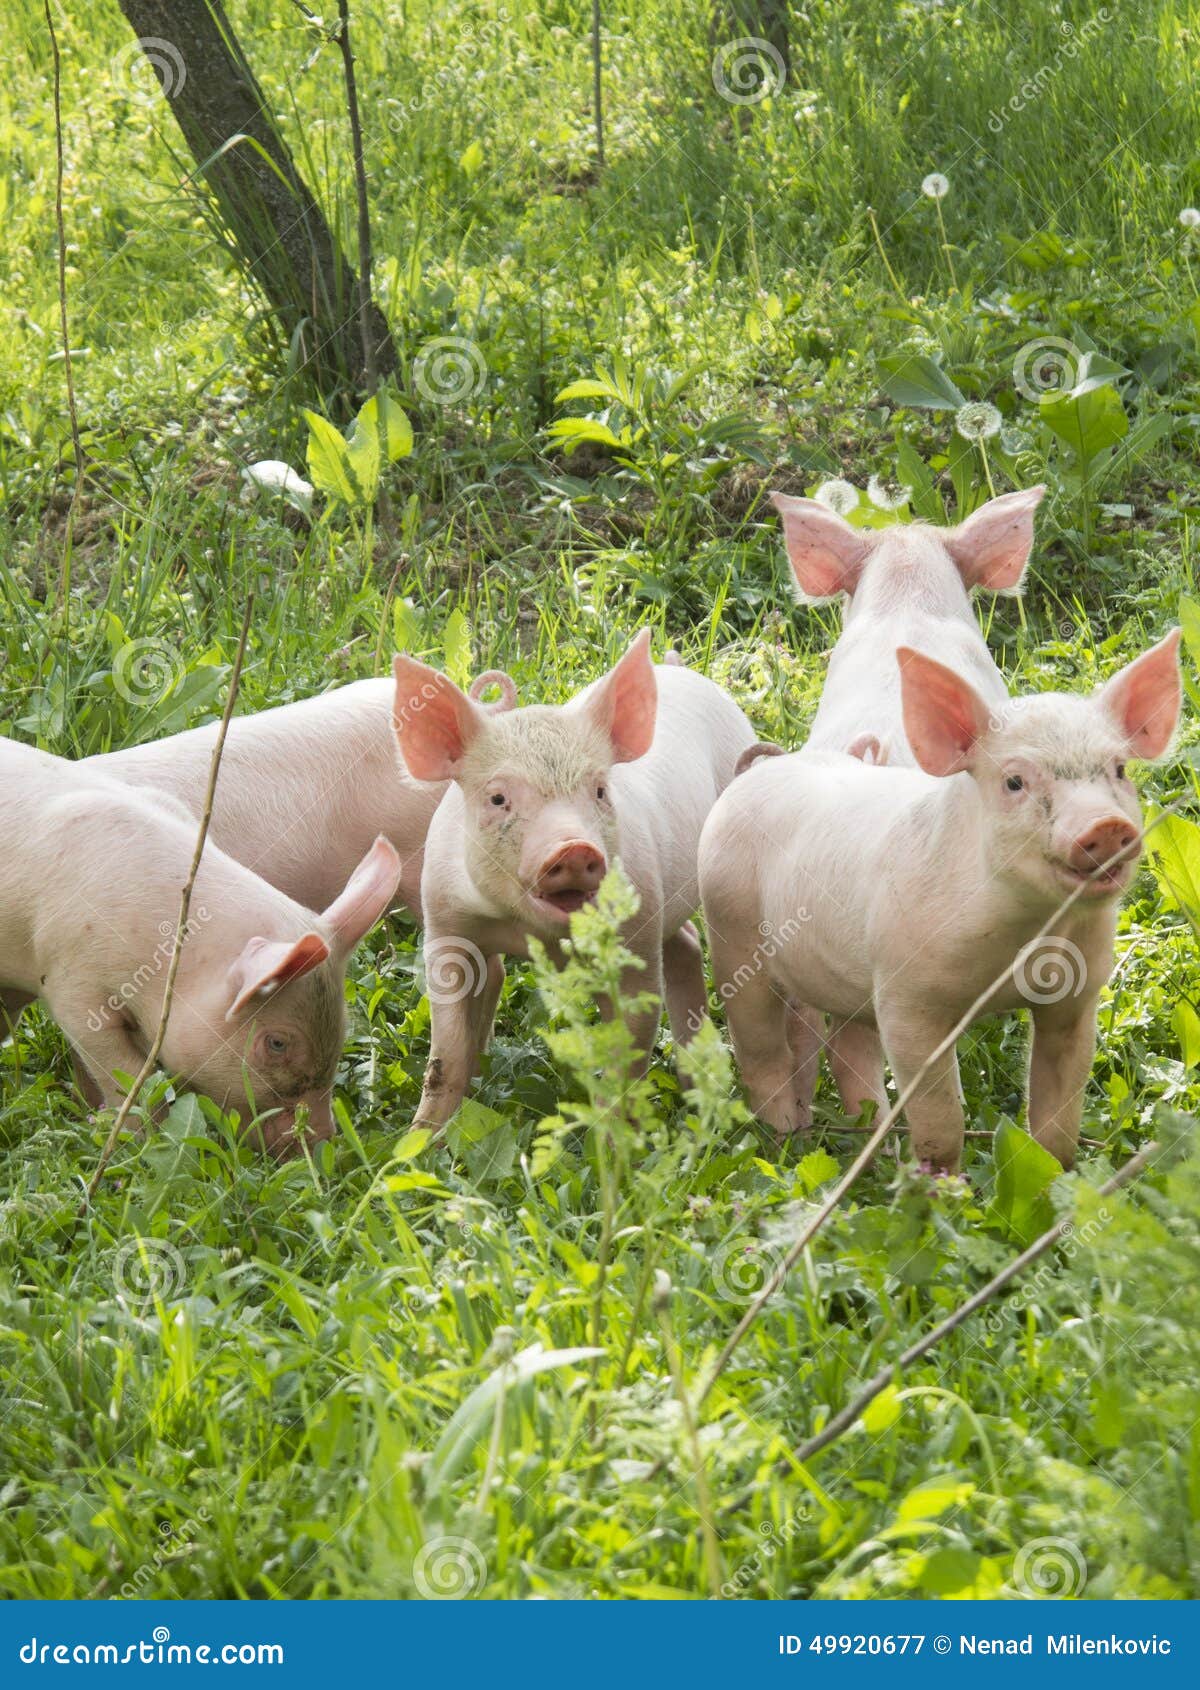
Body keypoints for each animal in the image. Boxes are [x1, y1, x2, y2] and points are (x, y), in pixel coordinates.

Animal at [0, 737, 400, 1154]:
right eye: (277, 1043)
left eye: (342, 1030)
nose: (322, 1142)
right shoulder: (72, 984)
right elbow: (123, 1072)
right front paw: (142, 1140)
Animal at [392, 631, 758, 1129]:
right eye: (498, 798)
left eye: (600, 791)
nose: (574, 848)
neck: (528, 930)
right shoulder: (446, 924)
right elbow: (445, 1058)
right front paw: (420, 1139)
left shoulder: (635, 934)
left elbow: (626, 1056)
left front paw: (613, 1139)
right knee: (684, 942)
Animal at [698, 629, 1181, 1172]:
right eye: (1014, 781)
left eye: (1118, 770)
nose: (1106, 825)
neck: (1026, 936)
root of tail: (756, 773)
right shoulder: (907, 998)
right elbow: (940, 1119)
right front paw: (942, 1186)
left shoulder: (1077, 997)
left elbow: (1058, 1122)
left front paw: (1056, 1178)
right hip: (732, 932)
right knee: (761, 1052)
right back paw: (786, 1143)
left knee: (851, 1053)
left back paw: (874, 1149)